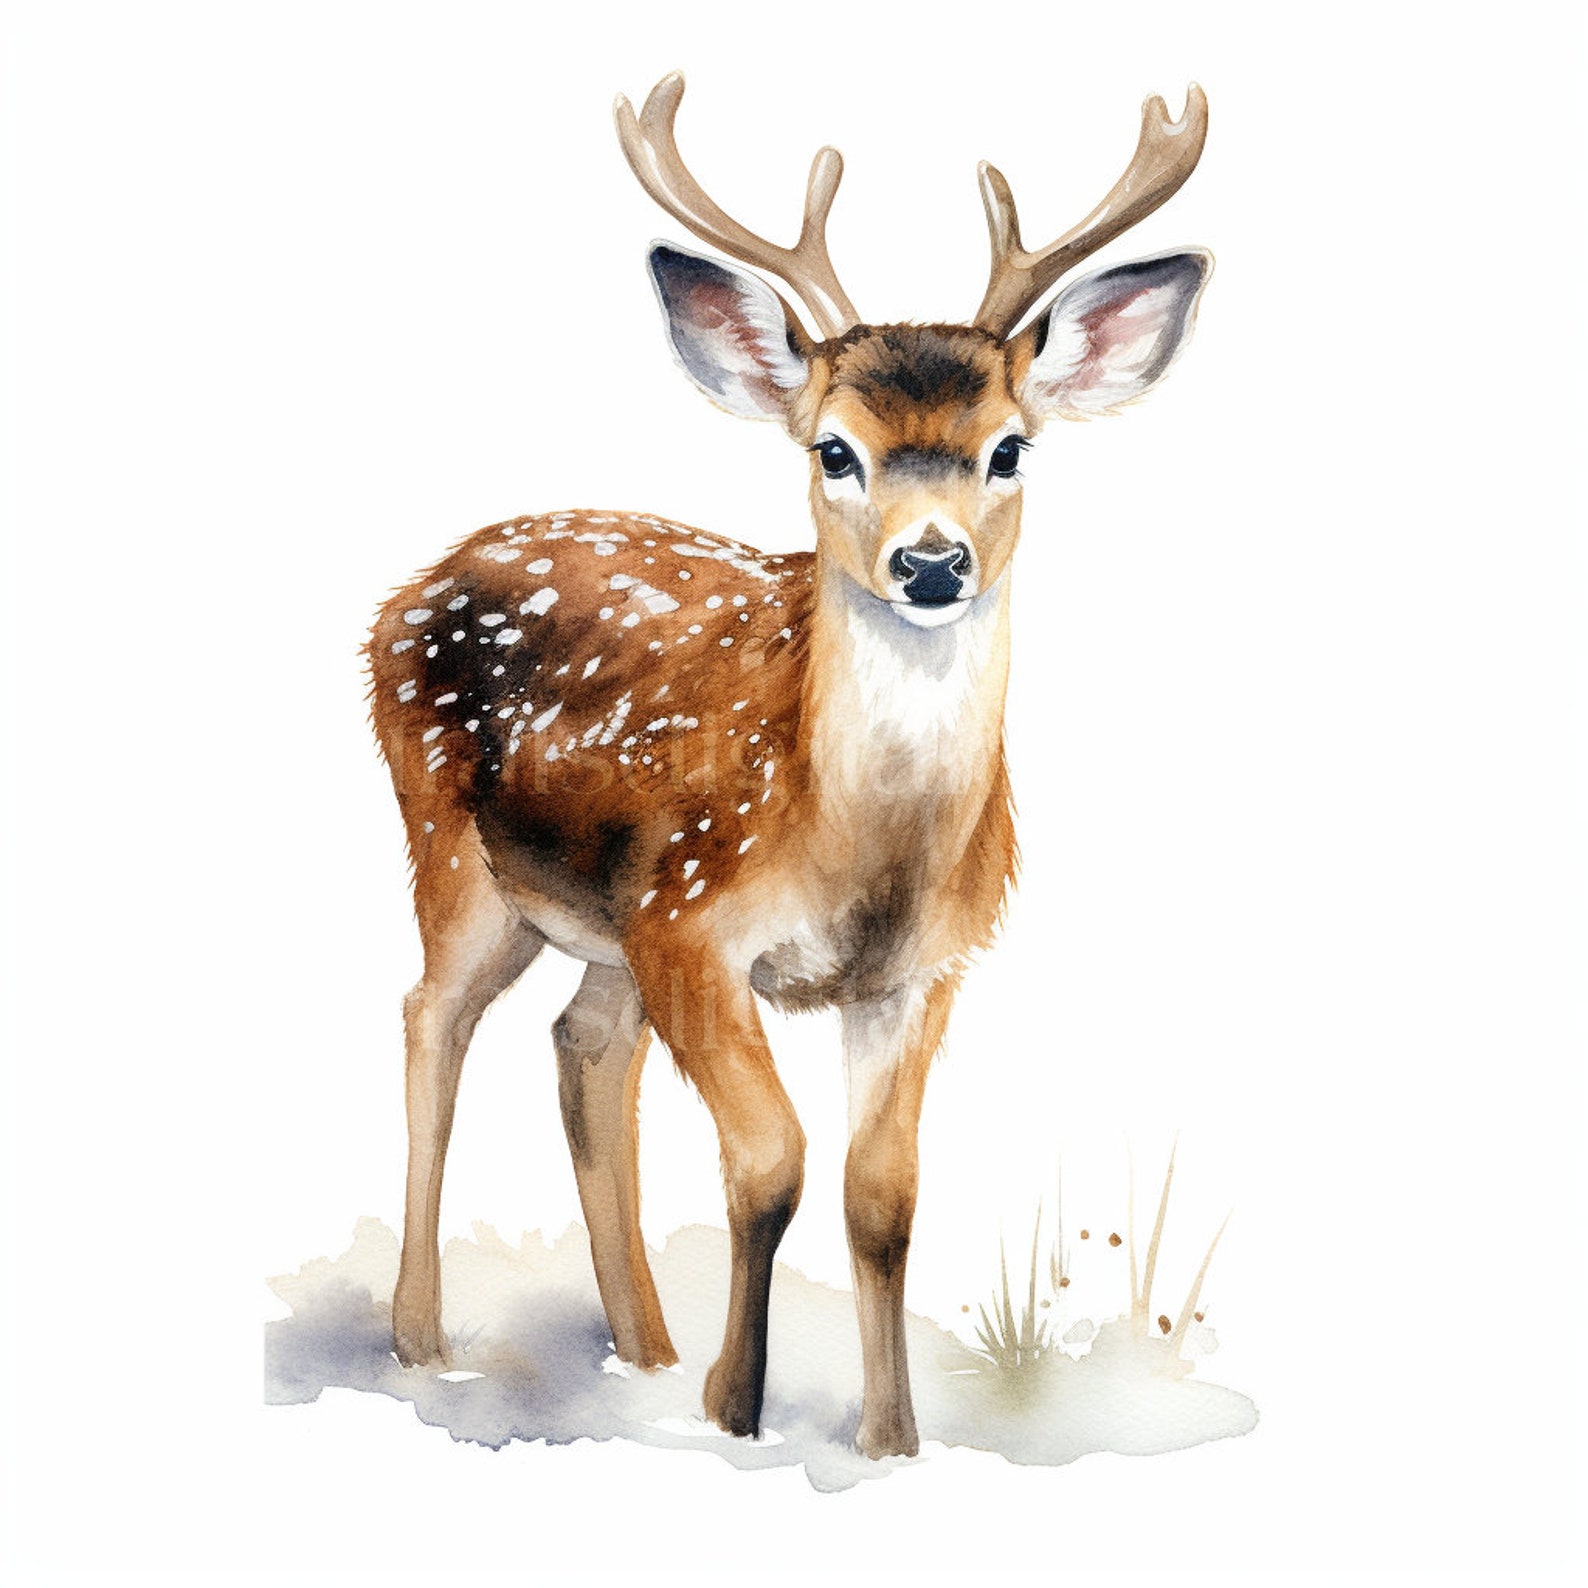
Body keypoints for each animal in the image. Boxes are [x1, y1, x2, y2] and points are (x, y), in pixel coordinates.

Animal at [366, 72, 1211, 1460]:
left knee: (583, 1047)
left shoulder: (918, 970)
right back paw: (426, 1340)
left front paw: (887, 1439)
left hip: (604, 920)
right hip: (455, 843)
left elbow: (882, 1194)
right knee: (433, 1018)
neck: (857, 852)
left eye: (1009, 448)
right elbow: (769, 1161)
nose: (931, 564)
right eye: (832, 449)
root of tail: (402, 595)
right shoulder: (694, 922)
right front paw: (736, 1408)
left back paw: (642, 1348)